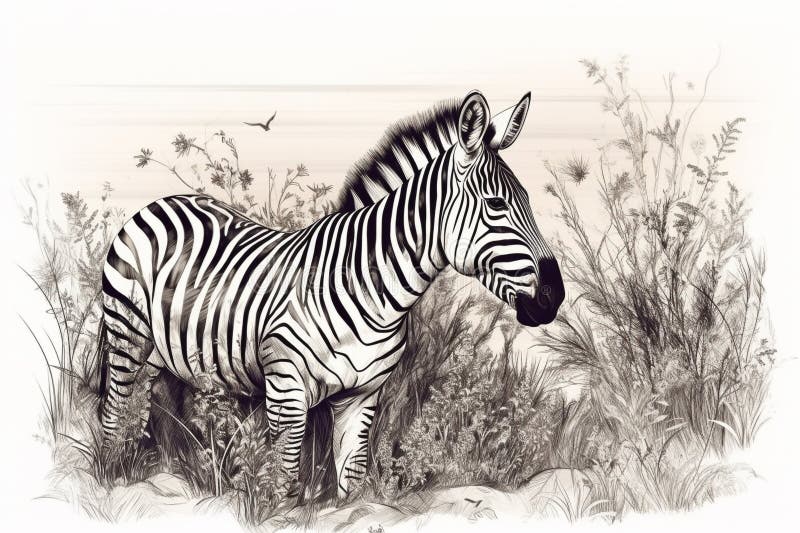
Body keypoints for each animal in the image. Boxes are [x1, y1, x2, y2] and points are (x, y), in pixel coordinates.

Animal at [98, 90, 565, 499]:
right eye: (496, 205)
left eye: (527, 199)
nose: (554, 295)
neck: (375, 295)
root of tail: (161, 201)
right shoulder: (285, 389)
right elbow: (284, 480)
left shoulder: (361, 399)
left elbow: (350, 484)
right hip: (127, 337)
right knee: (114, 413)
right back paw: (108, 480)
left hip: (171, 357)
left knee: (163, 413)